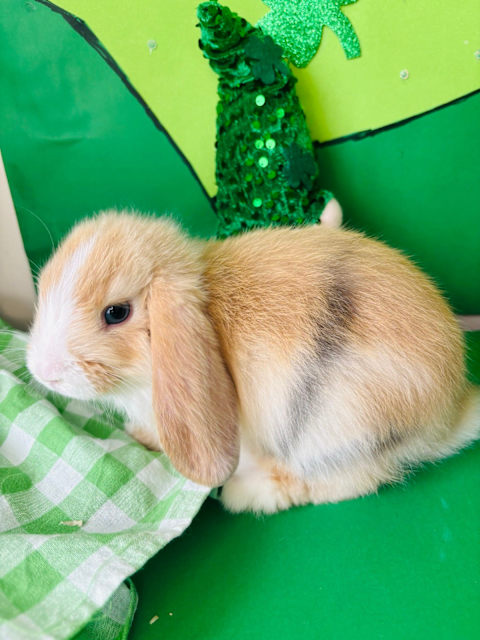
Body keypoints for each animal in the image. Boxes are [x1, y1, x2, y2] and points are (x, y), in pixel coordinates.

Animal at [27, 210, 479, 514]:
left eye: (116, 313)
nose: (43, 371)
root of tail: (450, 414)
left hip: (341, 433)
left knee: (340, 484)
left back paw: (246, 495)